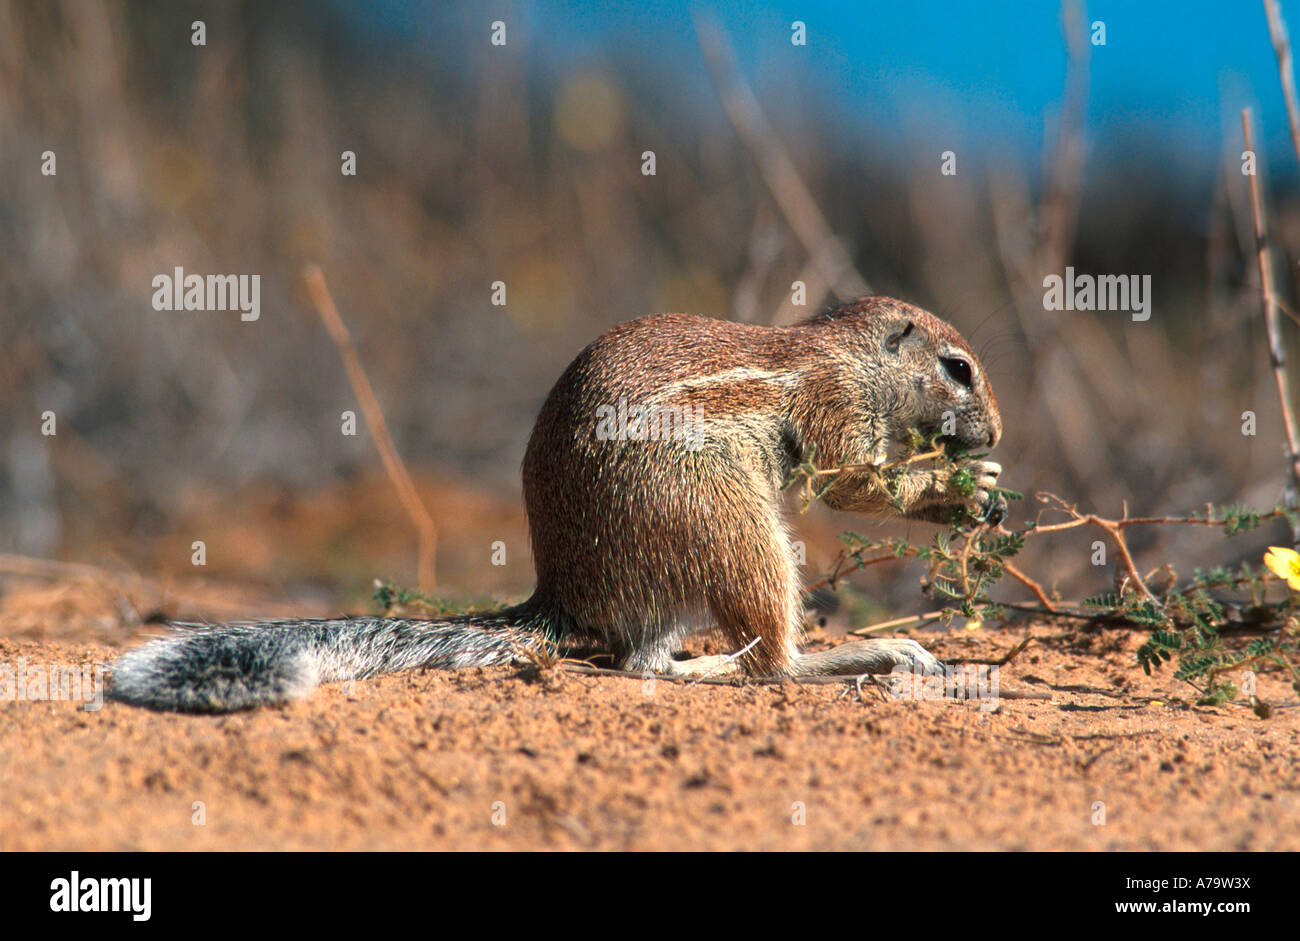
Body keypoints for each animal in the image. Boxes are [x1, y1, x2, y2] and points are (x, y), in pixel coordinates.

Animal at [109, 296, 1003, 712]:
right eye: (958, 367)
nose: (995, 433)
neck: (846, 353)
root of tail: (564, 593)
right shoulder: (833, 408)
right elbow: (855, 483)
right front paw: (960, 495)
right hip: (729, 519)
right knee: (759, 663)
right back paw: (876, 654)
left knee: (647, 660)